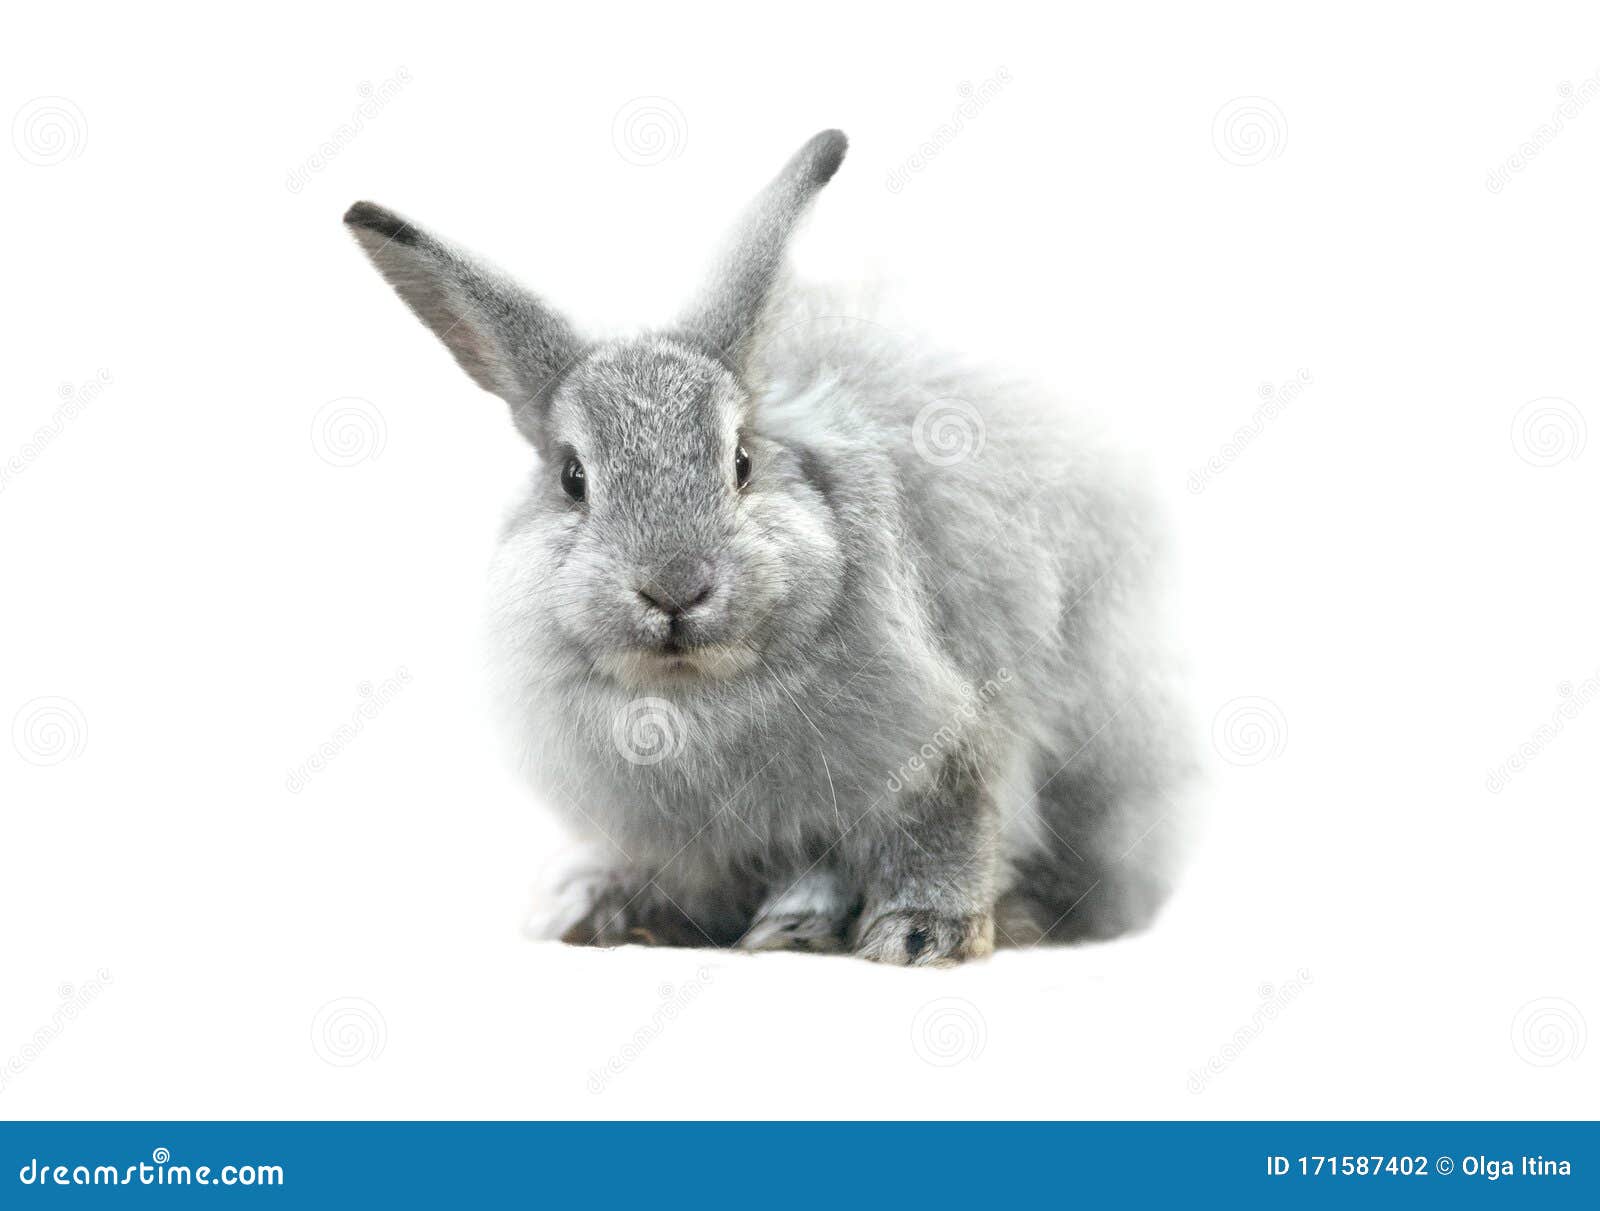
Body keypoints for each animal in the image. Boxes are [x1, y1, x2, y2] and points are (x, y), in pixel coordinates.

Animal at [343, 129, 1189, 965]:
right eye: (573, 478)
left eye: (742, 461)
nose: (675, 588)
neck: (692, 694)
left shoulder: (950, 732)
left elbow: (948, 831)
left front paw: (916, 934)